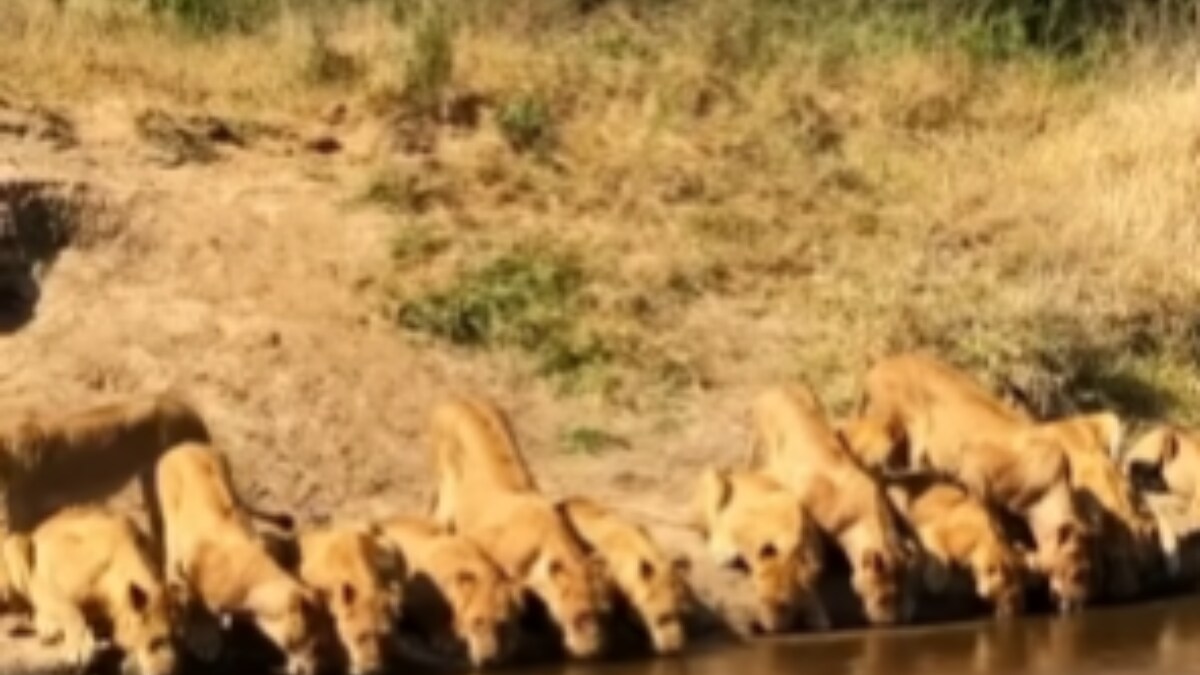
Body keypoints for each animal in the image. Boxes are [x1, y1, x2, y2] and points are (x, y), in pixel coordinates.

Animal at [0, 506, 177, 675]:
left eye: (173, 638)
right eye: (157, 641)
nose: (169, 671)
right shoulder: (42, 583)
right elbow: (68, 609)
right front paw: (79, 647)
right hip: (15, 543)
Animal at [427, 396, 607, 659]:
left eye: (601, 613)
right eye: (580, 616)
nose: (594, 650)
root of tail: (457, 396)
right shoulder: (480, 548)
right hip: (447, 493)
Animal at [885, 473, 1026, 617]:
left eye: (1013, 596)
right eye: (1007, 594)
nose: (1011, 611)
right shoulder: (930, 529)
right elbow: (940, 554)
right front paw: (936, 581)